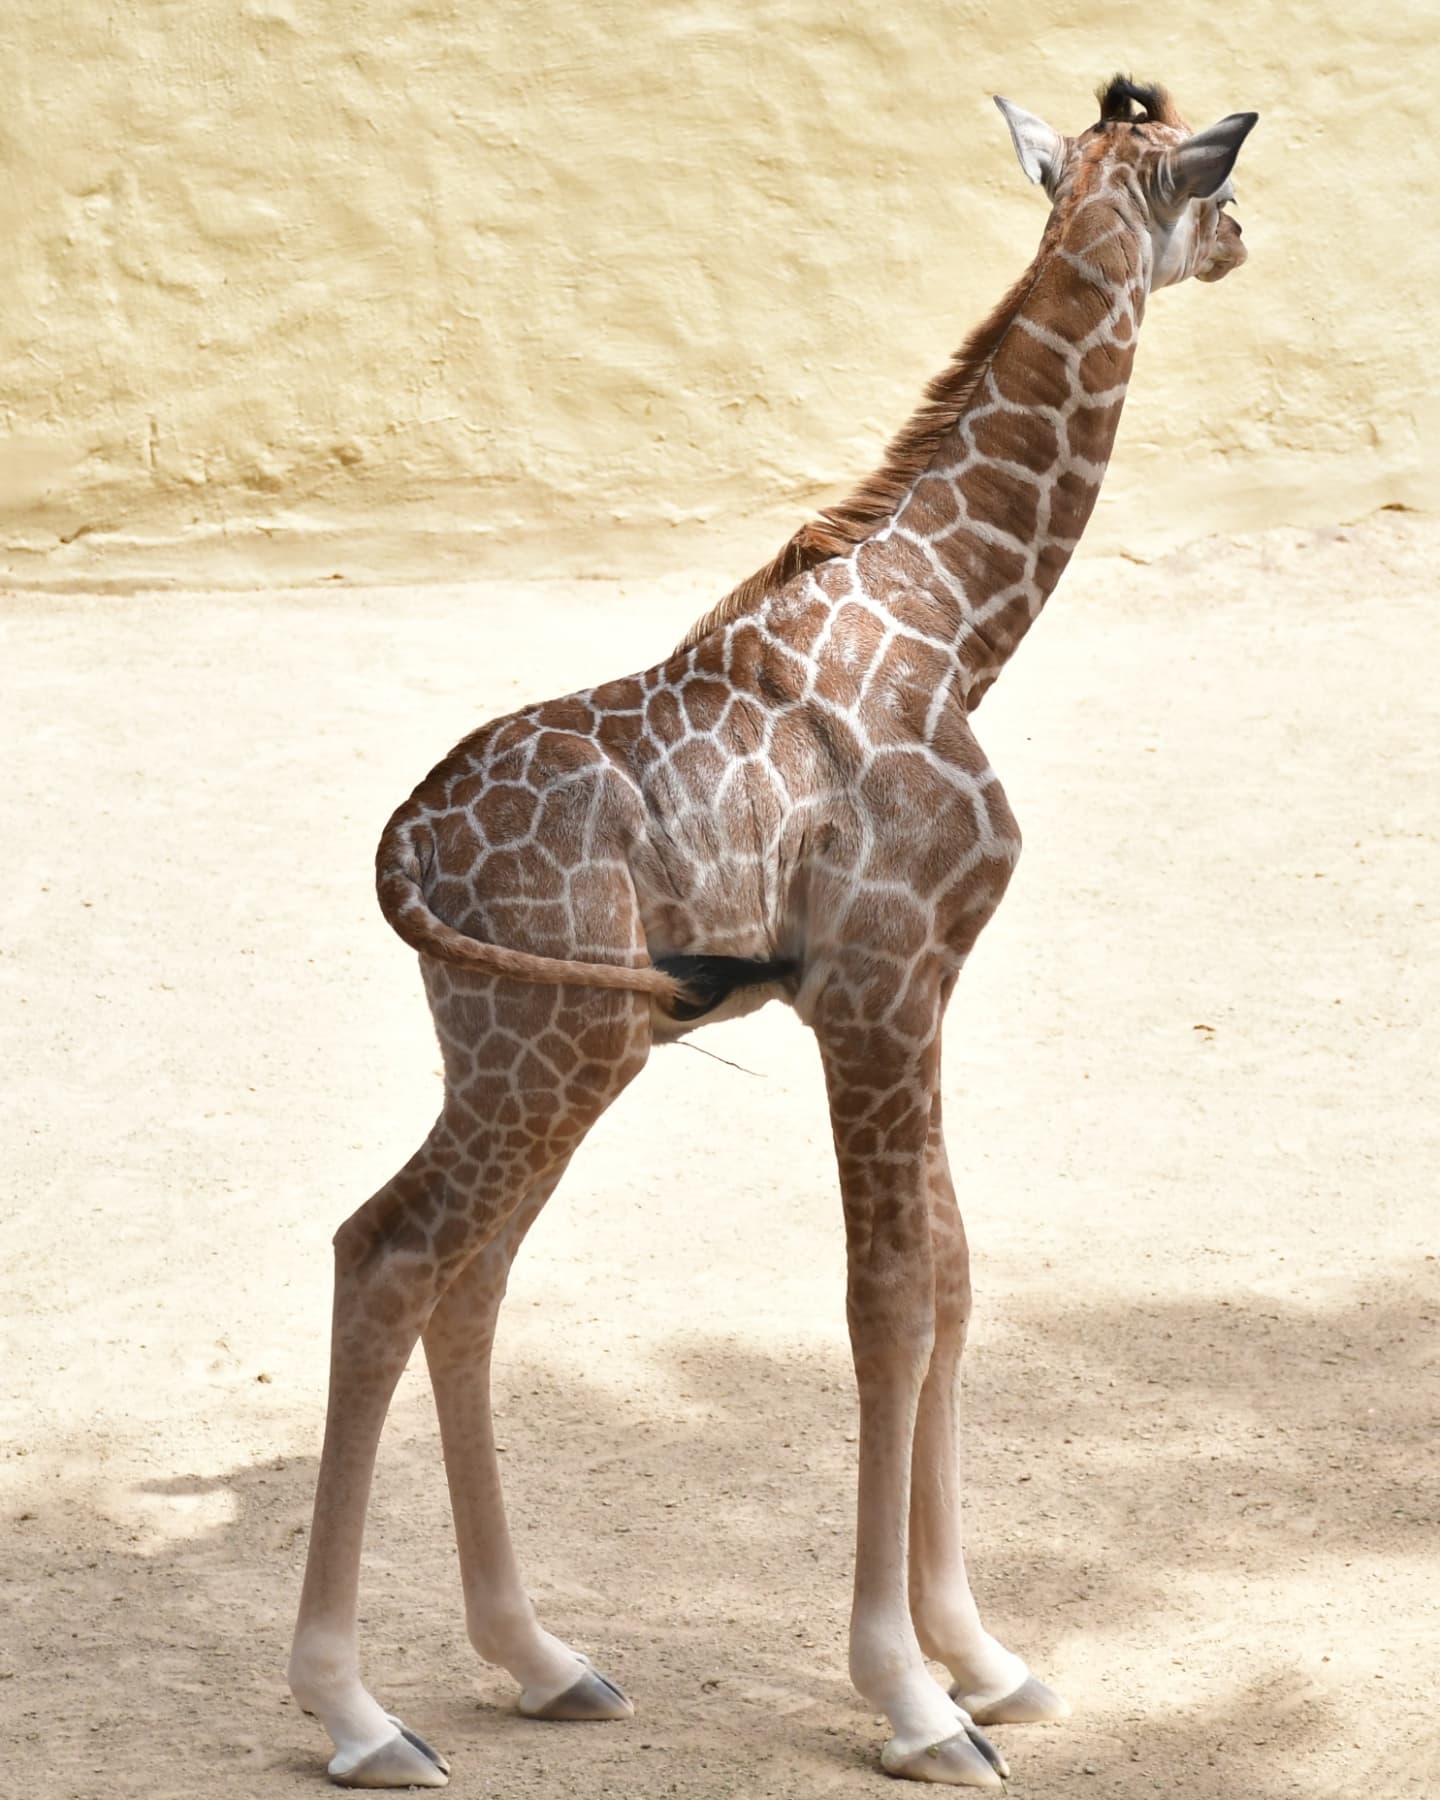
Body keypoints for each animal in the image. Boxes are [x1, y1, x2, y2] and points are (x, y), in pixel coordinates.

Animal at [288, 77, 1257, 1790]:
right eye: (1208, 178)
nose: (1246, 239)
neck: (957, 620)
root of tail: (403, 844)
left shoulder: (919, 984)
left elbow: (953, 1270)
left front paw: (985, 1659)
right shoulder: (875, 982)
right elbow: (887, 1298)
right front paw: (915, 1701)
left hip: (535, 1039)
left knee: (465, 1274)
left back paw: (542, 1661)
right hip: (552, 1037)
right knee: (390, 1249)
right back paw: (354, 1713)